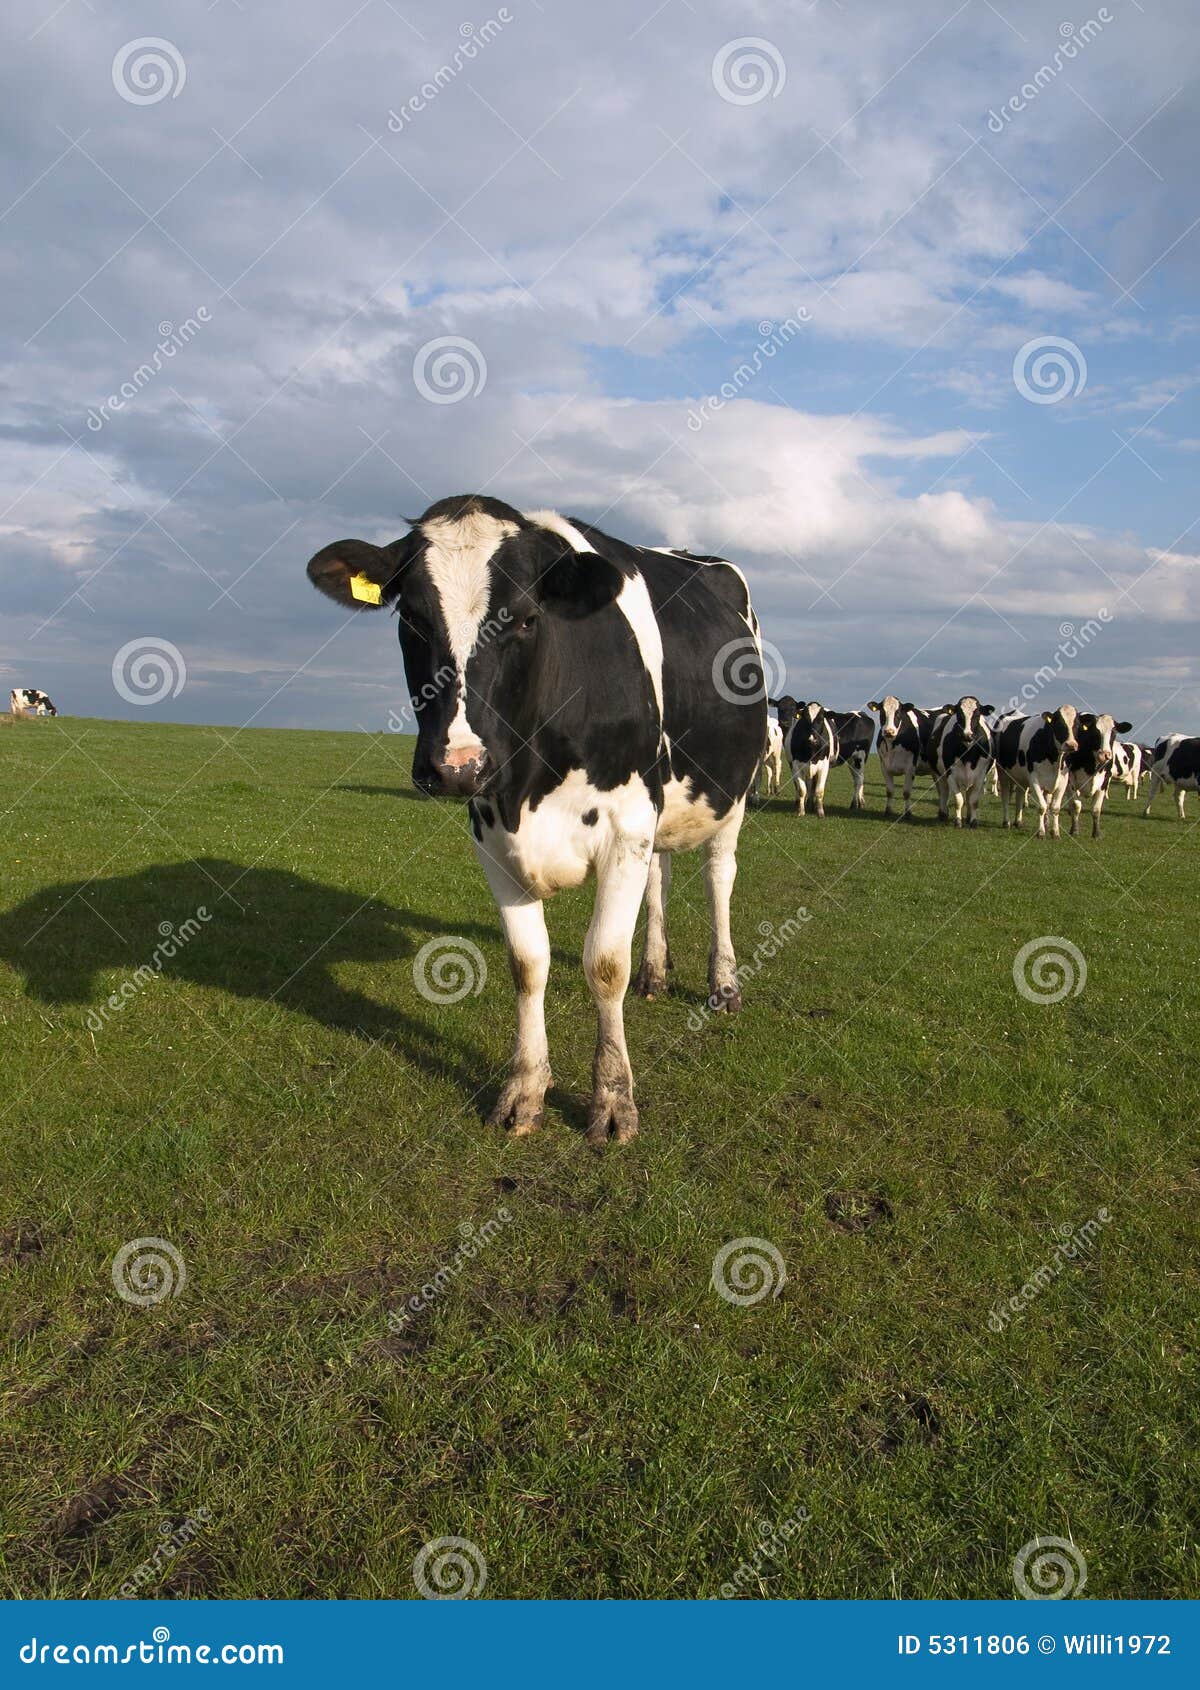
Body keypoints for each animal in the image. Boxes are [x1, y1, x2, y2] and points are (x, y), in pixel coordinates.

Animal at [305, 495, 766, 1149]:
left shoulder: (625, 824)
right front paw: (524, 1090)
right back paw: (655, 972)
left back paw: (723, 984)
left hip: (735, 790)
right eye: (411, 616)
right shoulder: (492, 834)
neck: (529, 783)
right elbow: (527, 965)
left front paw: (612, 1100)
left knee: (718, 877)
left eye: (524, 619)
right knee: (661, 878)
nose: (457, 765)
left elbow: (605, 964)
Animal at [928, 696, 995, 828]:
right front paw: (958, 821)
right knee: (943, 791)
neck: (967, 755)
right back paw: (943, 813)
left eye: (977, 714)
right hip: (938, 773)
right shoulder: (950, 774)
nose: (967, 735)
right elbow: (958, 799)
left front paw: (973, 821)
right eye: (959, 715)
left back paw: (968, 816)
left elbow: (973, 800)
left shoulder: (980, 776)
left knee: (968, 795)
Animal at [992, 706, 1079, 837]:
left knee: (1019, 795)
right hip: (1002, 772)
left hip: (1021, 776)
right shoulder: (1034, 780)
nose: (1071, 745)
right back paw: (1006, 822)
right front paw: (1041, 832)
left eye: (1077, 724)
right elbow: (1042, 806)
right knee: (1005, 796)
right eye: (1059, 724)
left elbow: (1055, 808)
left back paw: (1018, 821)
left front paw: (1055, 832)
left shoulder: (1063, 781)